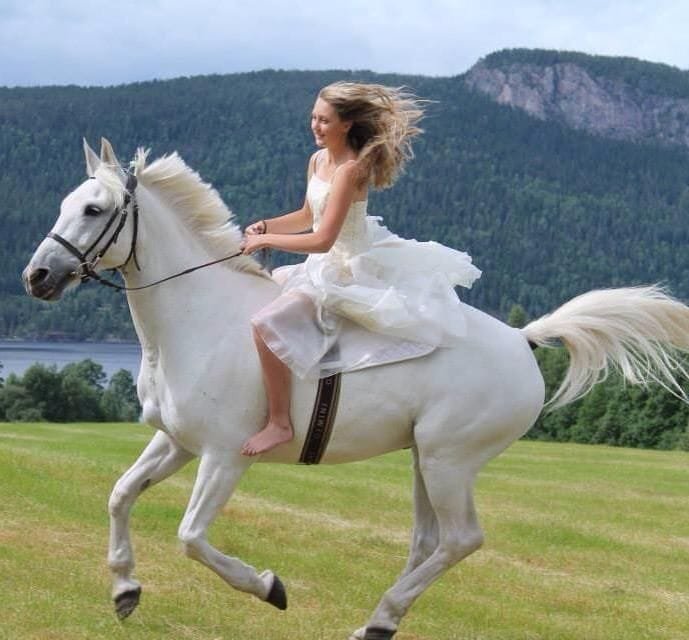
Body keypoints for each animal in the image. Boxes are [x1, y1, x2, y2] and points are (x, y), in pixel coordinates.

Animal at [22, 138, 689, 640]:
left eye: (94, 209)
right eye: (66, 203)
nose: (37, 277)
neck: (195, 318)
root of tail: (522, 341)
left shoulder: (223, 456)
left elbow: (191, 537)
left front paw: (270, 587)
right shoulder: (177, 443)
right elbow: (119, 496)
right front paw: (124, 588)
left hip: (450, 461)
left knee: (462, 539)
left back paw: (380, 620)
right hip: (425, 459)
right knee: (428, 541)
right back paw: (379, 621)